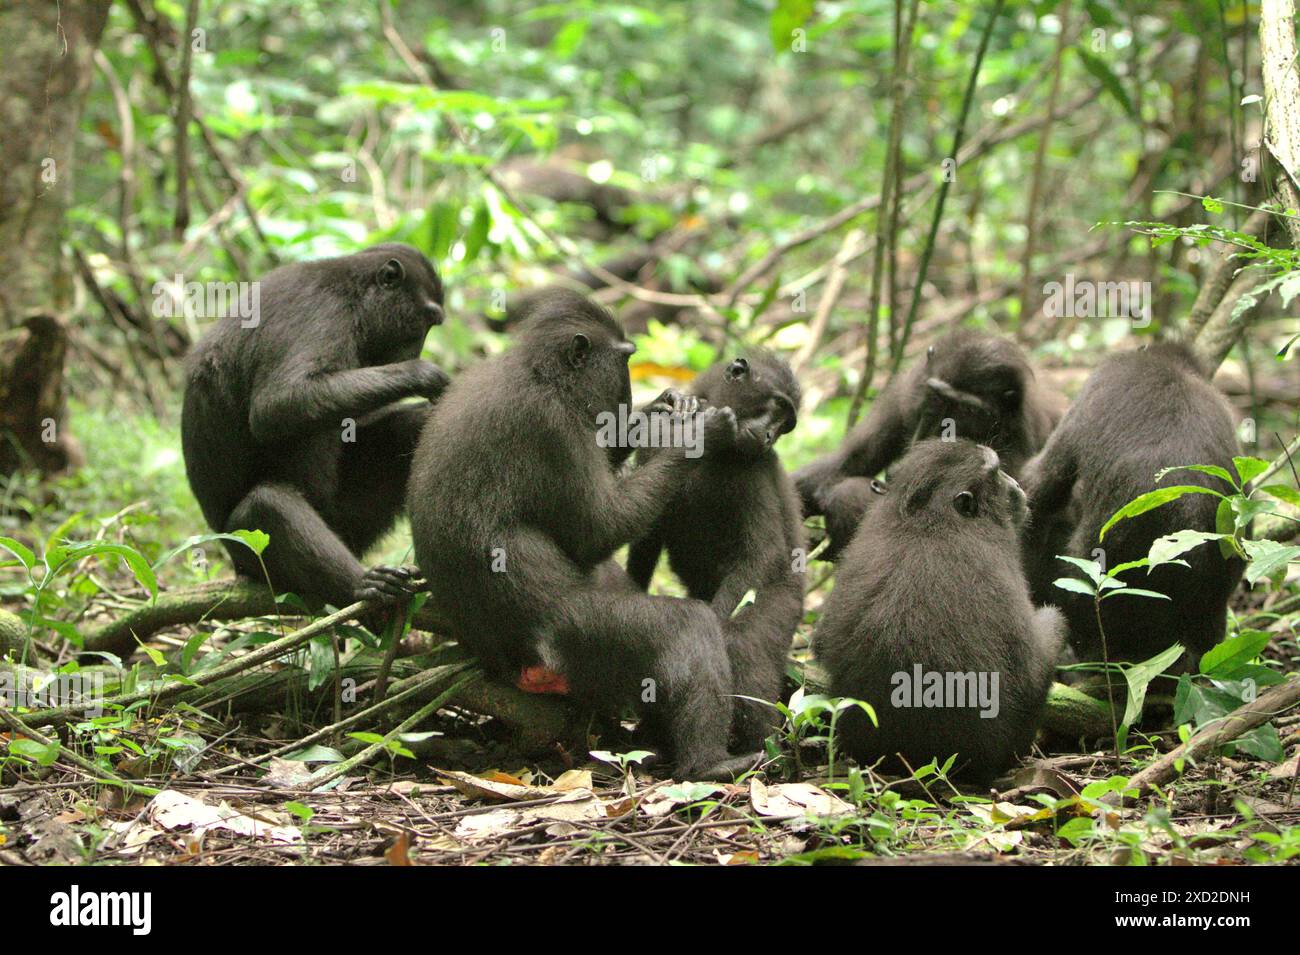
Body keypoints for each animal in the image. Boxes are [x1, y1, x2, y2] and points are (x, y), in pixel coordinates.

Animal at [181, 243, 449, 614]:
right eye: (426, 321)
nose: (418, 349)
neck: (353, 294)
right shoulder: (322, 315)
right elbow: (278, 405)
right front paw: (424, 374)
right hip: (249, 551)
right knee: (265, 506)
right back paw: (362, 585)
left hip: (352, 526)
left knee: (411, 428)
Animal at [406, 286, 756, 779]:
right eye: (625, 360)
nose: (627, 398)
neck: (541, 376)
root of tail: (508, 668)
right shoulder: (552, 427)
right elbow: (596, 531)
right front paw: (695, 432)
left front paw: (658, 411)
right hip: (579, 643)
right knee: (684, 628)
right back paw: (707, 765)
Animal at [625, 352, 805, 751]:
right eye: (777, 408)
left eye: (787, 426)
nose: (769, 436)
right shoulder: (657, 436)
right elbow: (647, 532)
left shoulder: (754, 468)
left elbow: (763, 553)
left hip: (785, 604)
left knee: (745, 641)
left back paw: (760, 751)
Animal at [793, 329, 1067, 522]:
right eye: (938, 399)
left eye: (969, 410)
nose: (942, 431)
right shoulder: (901, 396)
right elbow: (845, 465)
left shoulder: (1019, 438)